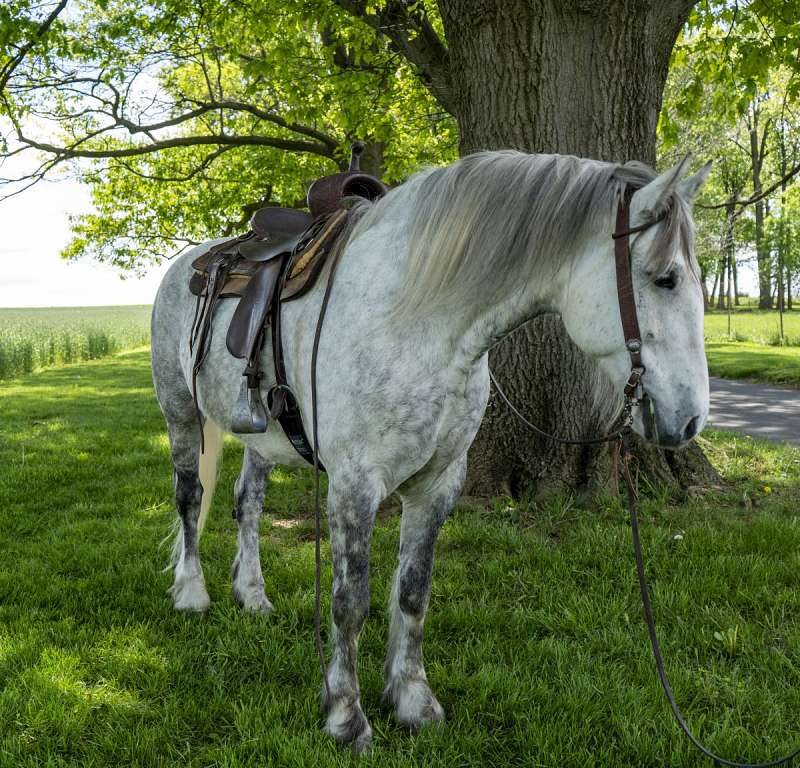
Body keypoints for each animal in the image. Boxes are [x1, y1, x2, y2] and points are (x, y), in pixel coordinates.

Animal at [151, 149, 711, 752]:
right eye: (665, 279)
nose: (692, 418)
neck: (416, 318)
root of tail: (189, 263)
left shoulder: (438, 484)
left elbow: (413, 592)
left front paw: (413, 701)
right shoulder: (354, 485)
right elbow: (350, 602)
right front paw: (346, 716)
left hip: (261, 437)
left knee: (246, 503)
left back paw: (252, 595)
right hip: (181, 414)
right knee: (190, 496)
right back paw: (191, 592)